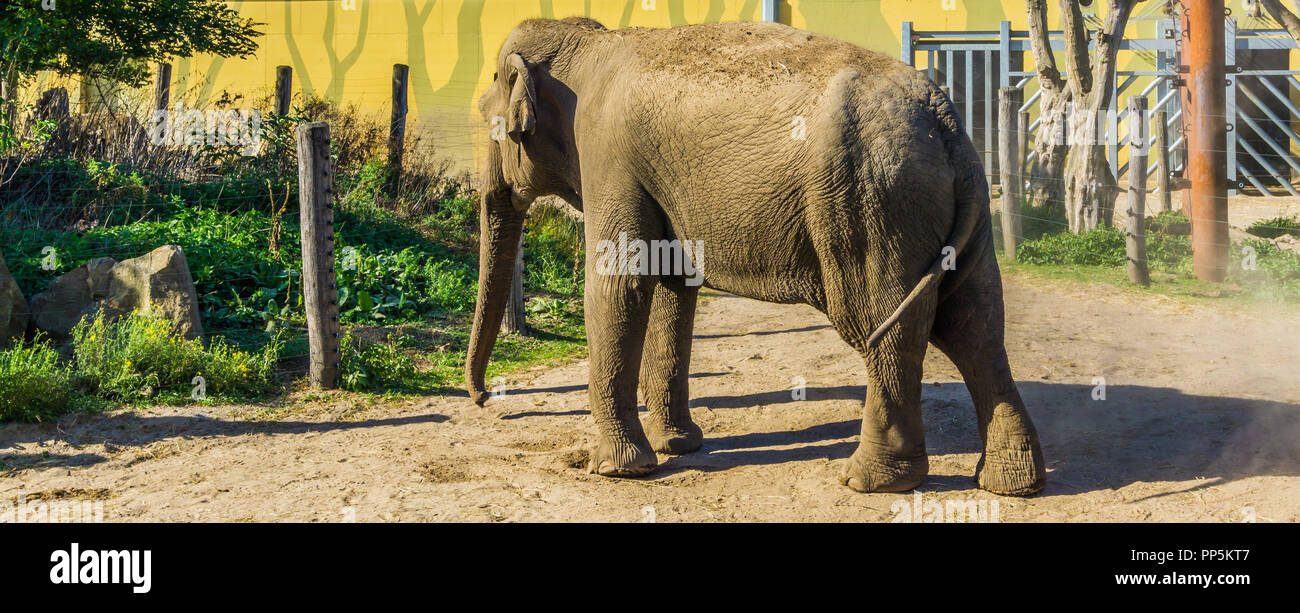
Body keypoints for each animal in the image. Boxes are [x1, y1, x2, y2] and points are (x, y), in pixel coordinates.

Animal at [464, 17, 1046, 496]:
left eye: (492, 127)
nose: (485, 399)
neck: (589, 43)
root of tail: (945, 120)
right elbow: (674, 284)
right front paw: (680, 445)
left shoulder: (609, 157)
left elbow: (619, 284)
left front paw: (620, 470)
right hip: (944, 210)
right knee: (974, 324)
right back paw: (1012, 484)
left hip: (871, 203)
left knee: (886, 327)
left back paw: (869, 482)